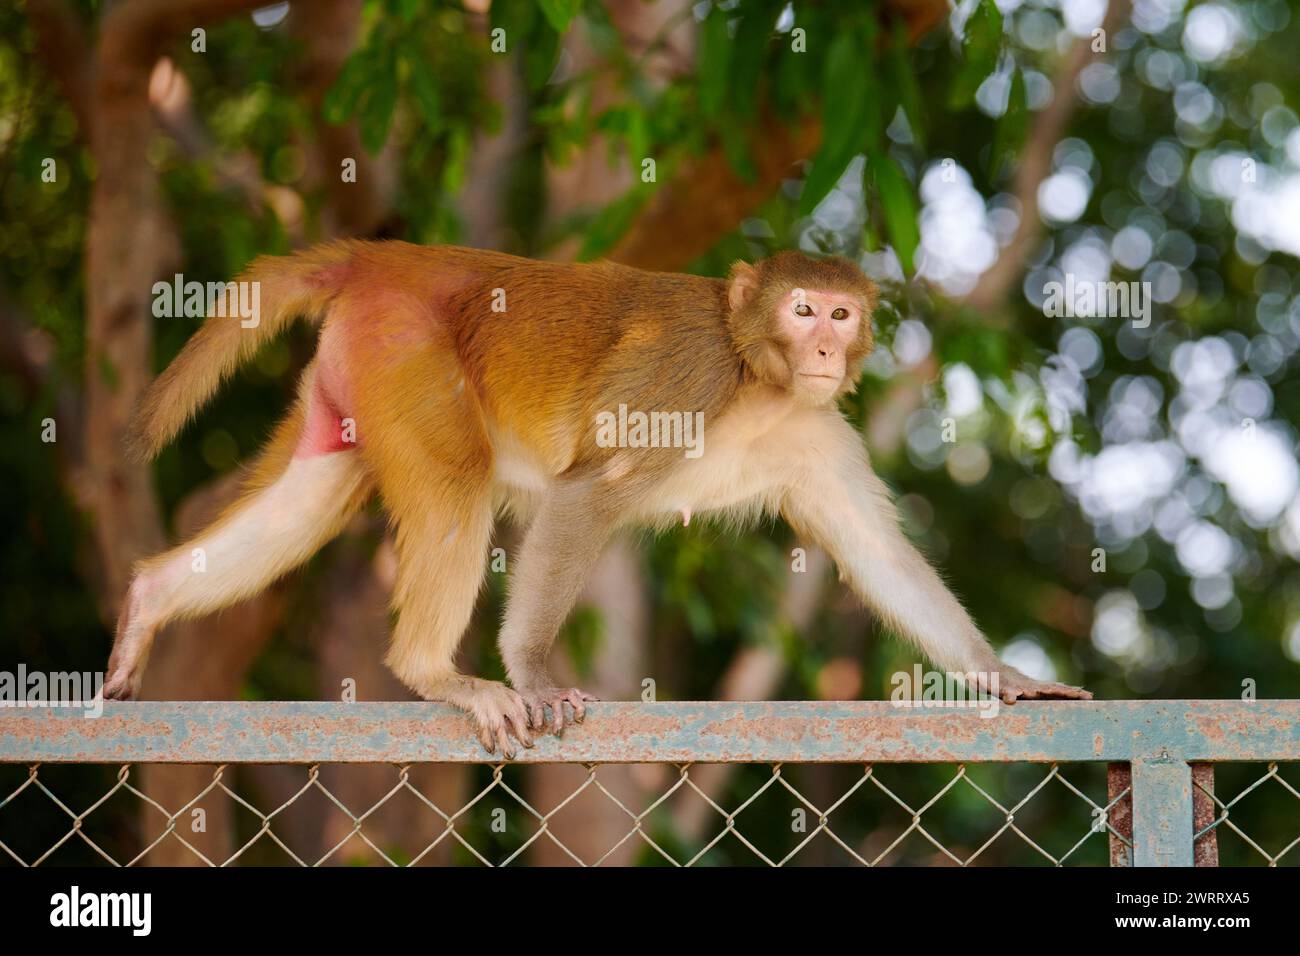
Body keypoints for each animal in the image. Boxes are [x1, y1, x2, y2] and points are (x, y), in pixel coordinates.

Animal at [105, 241, 1091, 756]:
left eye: (840, 316)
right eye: (802, 309)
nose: (822, 348)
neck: (758, 380)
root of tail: (388, 252)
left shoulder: (818, 433)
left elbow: (879, 554)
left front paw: (1004, 676)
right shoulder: (683, 379)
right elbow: (589, 494)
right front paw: (533, 670)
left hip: (356, 377)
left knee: (313, 492)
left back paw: (150, 596)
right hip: (407, 347)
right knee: (458, 484)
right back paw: (435, 672)